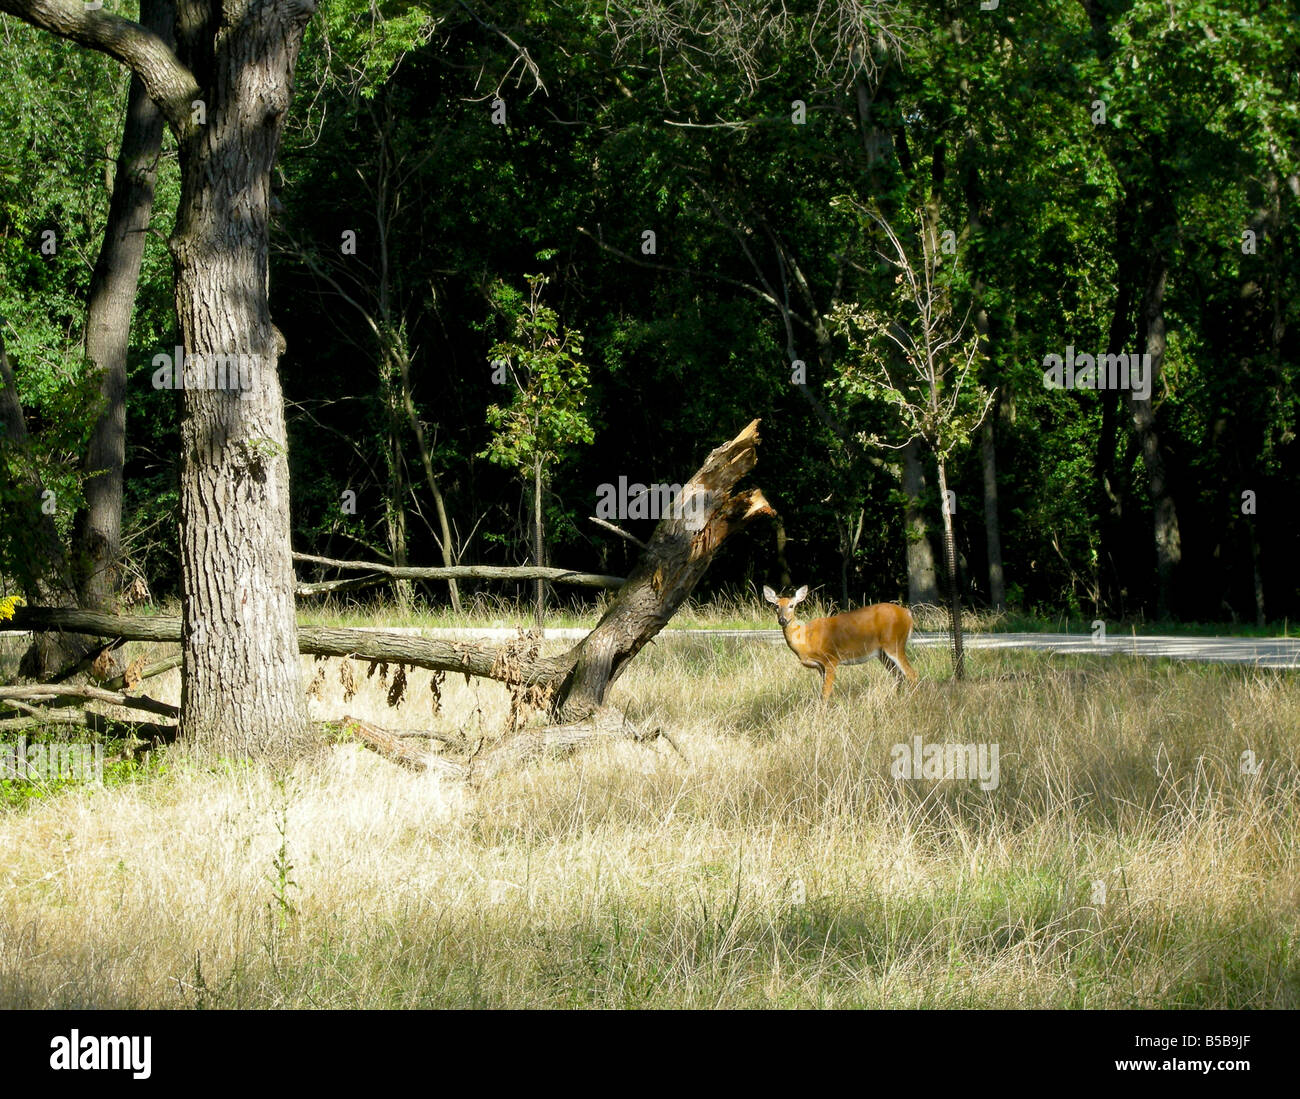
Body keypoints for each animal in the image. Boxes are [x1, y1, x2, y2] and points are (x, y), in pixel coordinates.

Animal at [763, 585, 917, 698]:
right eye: (776, 606)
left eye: (792, 605)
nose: (782, 620)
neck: (806, 640)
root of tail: (907, 614)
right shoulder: (820, 667)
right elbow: (828, 691)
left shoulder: (831, 658)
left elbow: (825, 694)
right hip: (882, 654)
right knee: (900, 677)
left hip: (894, 644)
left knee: (912, 675)